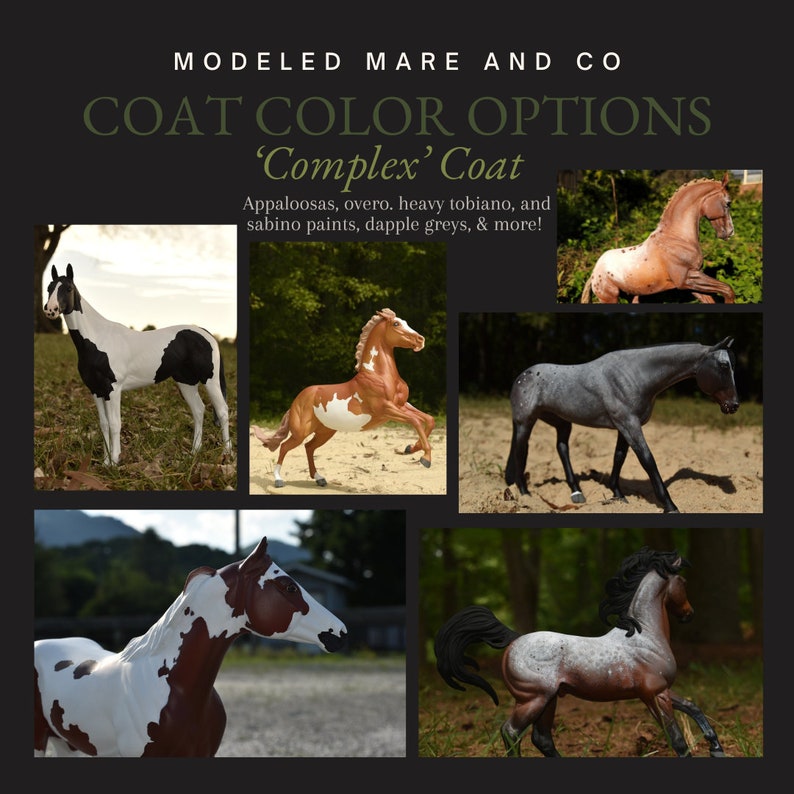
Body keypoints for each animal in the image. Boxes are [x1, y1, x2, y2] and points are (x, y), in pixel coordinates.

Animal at [43, 263, 232, 465]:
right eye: (49, 288)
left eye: (68, 288)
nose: (51, 309)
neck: (97, 338)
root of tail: (206, 334)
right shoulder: (96, 390)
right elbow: (104, 424)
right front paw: (105, 462)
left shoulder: (113, 389)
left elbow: (115, 424)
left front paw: (115, 462)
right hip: (186, 382)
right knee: (198, 410)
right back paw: (194, 453)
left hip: (210, 380)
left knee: (222, 411)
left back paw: (226, 454)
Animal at [252, 308, 435, 488]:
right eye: (396, 324)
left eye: (406, 322)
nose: (421, 340)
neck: (379, 376)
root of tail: (296, 402)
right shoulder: (385, 409)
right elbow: (415, 421)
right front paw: (425, 459)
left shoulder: (401, 405)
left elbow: (428, 419)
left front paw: (411, 448)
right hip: (301, 432)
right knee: (285, 447)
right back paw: (278, 480)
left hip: (325, 431)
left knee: (309, 447)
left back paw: (320, 478)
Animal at [435, 547, 726, 758]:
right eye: (683, 582)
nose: (689, 614)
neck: (644, 635)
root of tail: (514, 639)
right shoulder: (655, 694)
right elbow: (676, 739)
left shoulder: (660, 691)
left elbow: (693, 707)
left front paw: (717, 749)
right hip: (533, 699)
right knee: (511, 732)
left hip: (549, 700)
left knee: (541, 739)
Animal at [505, 337, 739, 513]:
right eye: (724, 365)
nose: (734, 405)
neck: (635, 375)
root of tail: (521, 376)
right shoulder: (629, 424)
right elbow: (647, 460)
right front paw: (670, 506)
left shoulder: (624, 427)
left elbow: (619, 457)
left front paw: (618, 495)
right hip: (525, 422)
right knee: (521, 451)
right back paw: (526, 495)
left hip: (561, 422)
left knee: (562, 448)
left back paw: (576, 492)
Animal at [580, 173, 736, 304]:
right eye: (728, 203)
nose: (730, 232)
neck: (677, 238)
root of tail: (593, 275)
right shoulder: (686, 279)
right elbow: (728, 290)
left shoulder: (692, 281)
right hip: (610, 298)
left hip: (633, 296)